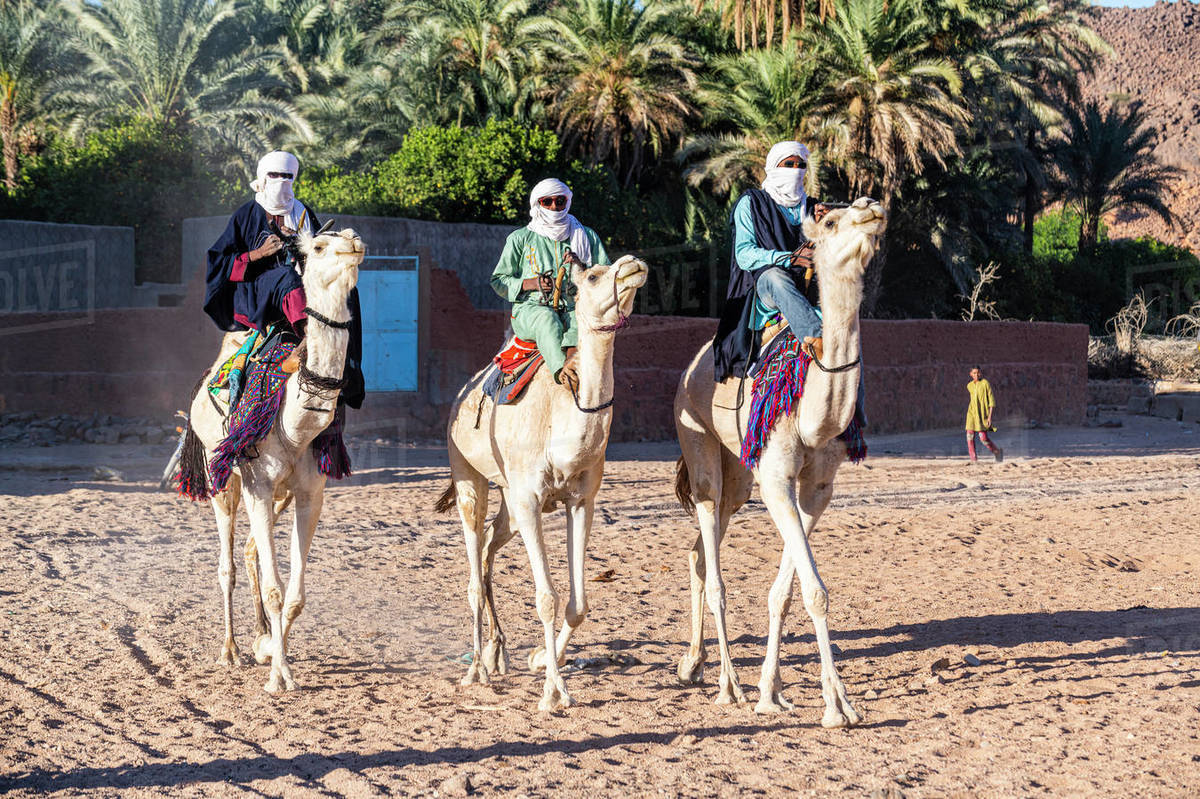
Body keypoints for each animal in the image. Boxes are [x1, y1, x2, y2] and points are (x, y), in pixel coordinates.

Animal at [186, 227, 364, 693]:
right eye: (319, 246)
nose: (354, 241)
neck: (294, 421)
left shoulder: (309, 494)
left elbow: (296, 596)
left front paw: (273, 650)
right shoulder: (258, 486)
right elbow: (275, 589)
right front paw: (279, 677)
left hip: (276, 495)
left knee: (249, 551)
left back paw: (261, 637)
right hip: (223, 478)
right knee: (227, 564)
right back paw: (230, 650)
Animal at [435, 255, 649, 711]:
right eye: (594, 275)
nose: (633, 263)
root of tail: (461, 393)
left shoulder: (581, 500)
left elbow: (578, 603)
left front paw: (540, 659)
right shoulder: (531, 499)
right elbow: (546, 598)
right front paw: (554, 691)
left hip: (509, 500)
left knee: (488, 550)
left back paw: (498, 652)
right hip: (468, 476)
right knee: (473, 566)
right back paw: (476, 669)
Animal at [673, 197, 885, 727]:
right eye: (830, 221)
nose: (871, 206)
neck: (815, 415)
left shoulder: (817, 489)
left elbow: (787, 593)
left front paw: (775, 690)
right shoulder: (776, 479)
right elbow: (815, 592)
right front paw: (836, 706)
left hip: (739, 473)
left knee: (700, 552)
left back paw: (692, 664)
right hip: (699, 442)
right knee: (713, 562)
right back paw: (728, 684)